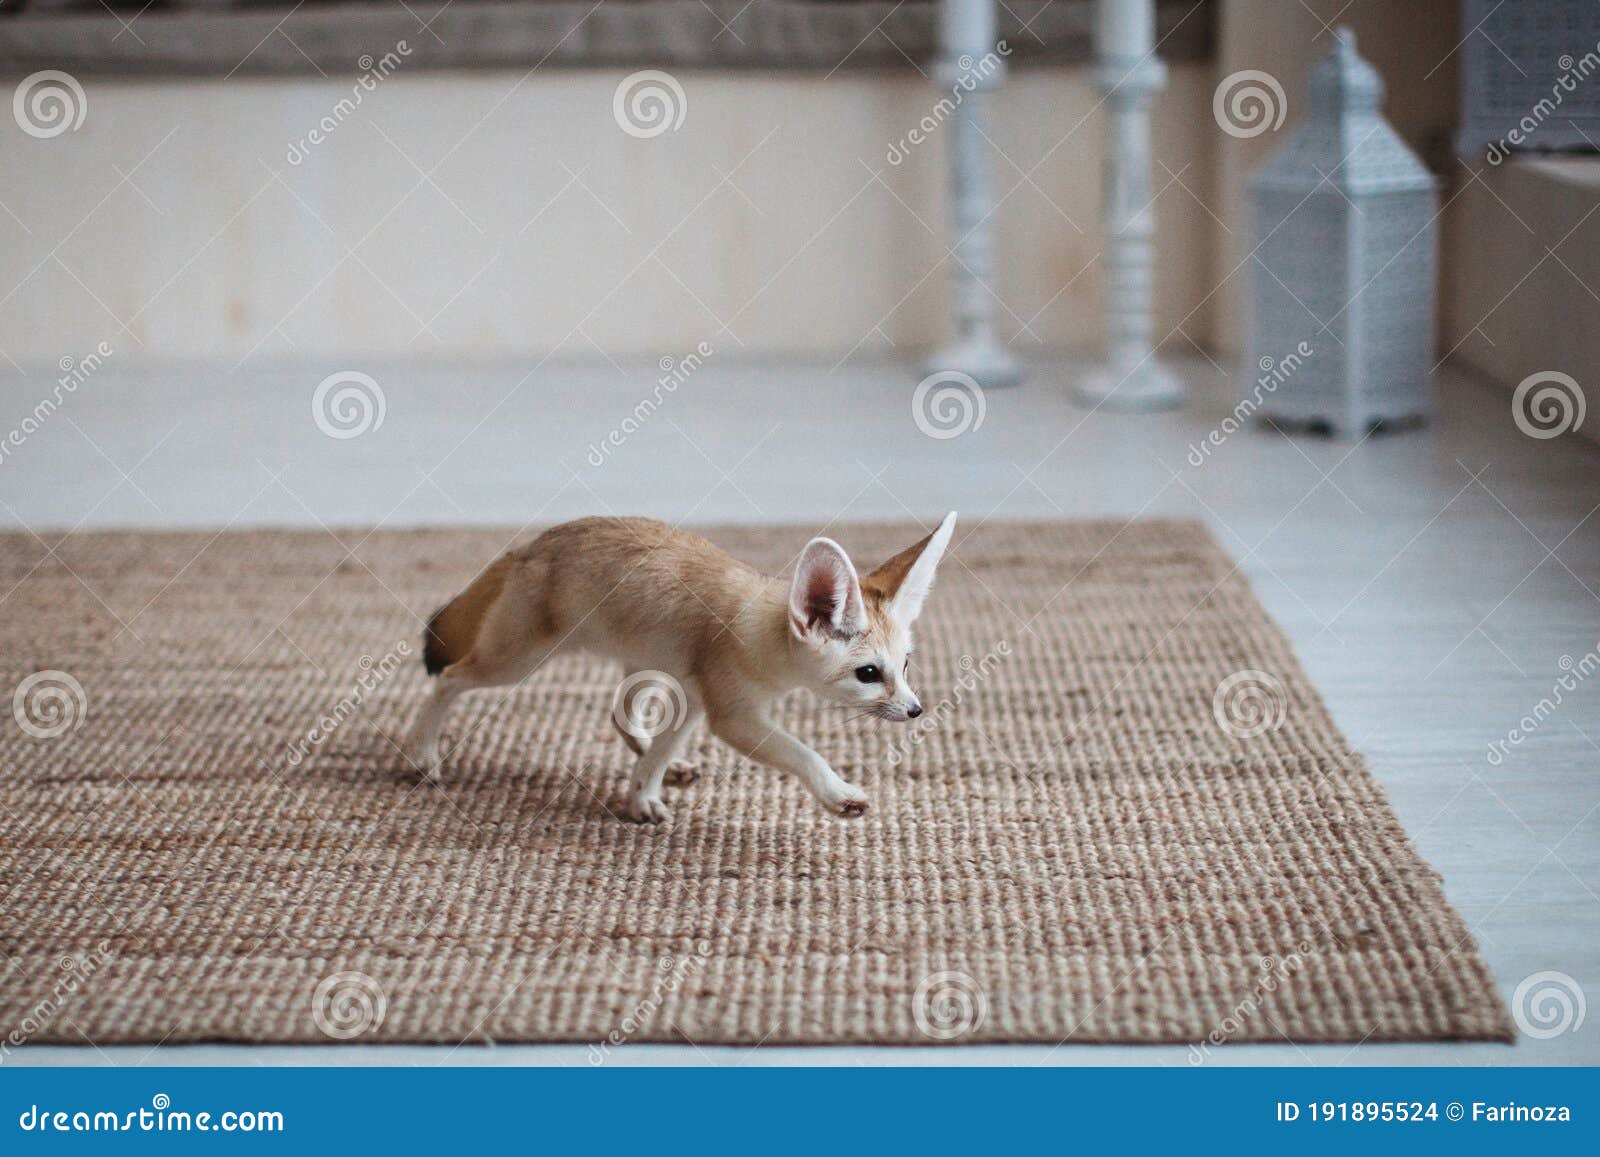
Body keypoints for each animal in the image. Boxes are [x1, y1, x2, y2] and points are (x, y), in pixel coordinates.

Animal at [403, 511, 957, 823]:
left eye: (905, 664)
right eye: (869, 674)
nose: (916, 710)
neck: (758, 626)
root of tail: (532, 543)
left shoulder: (695, 700)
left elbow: (663, 748)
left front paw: (643, 793)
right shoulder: (732, 717)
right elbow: (805, 755)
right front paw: (837, 794)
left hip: (646, 665)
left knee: (620, 714)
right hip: (517, 661)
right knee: (448, 679)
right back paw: (422, 754)